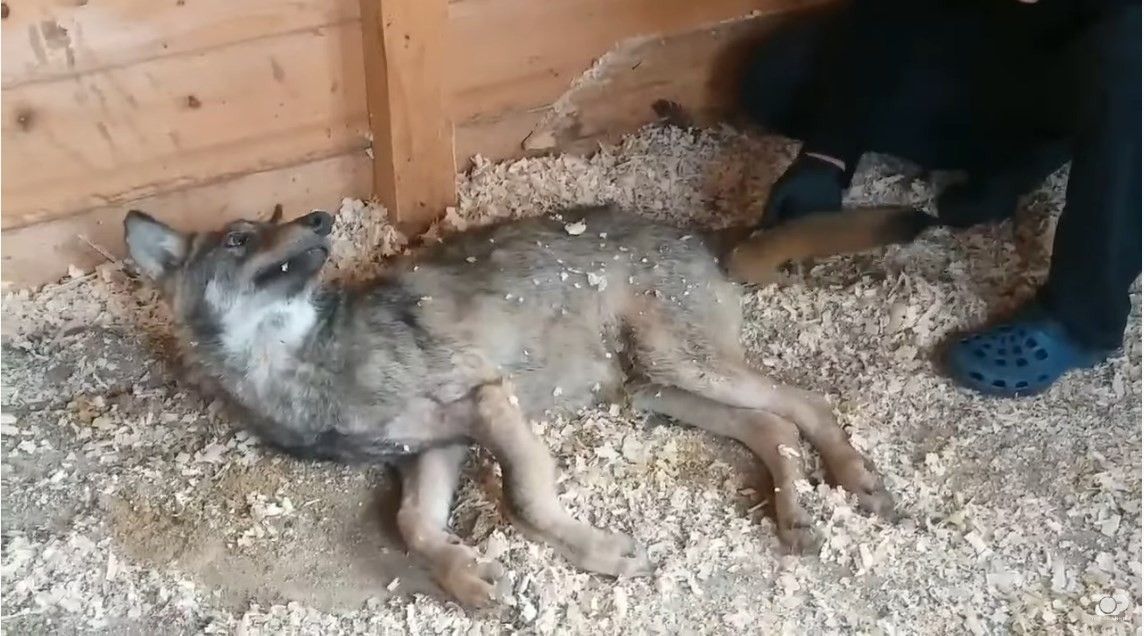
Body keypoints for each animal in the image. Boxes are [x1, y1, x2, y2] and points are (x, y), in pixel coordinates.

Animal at [124, 204, 900, 607]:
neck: (302, 358)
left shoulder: (488, 403)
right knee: (770, 422)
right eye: (239, 238)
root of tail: (701, 232)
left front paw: (602, 553)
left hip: (679, 365)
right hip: (655, 384)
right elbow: (412, 527)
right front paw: (468, 578)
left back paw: (851, 476)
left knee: (804, 401)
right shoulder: (433, 449)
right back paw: (795, 513)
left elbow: (525, 500)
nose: (319, 218)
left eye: (265, 225)